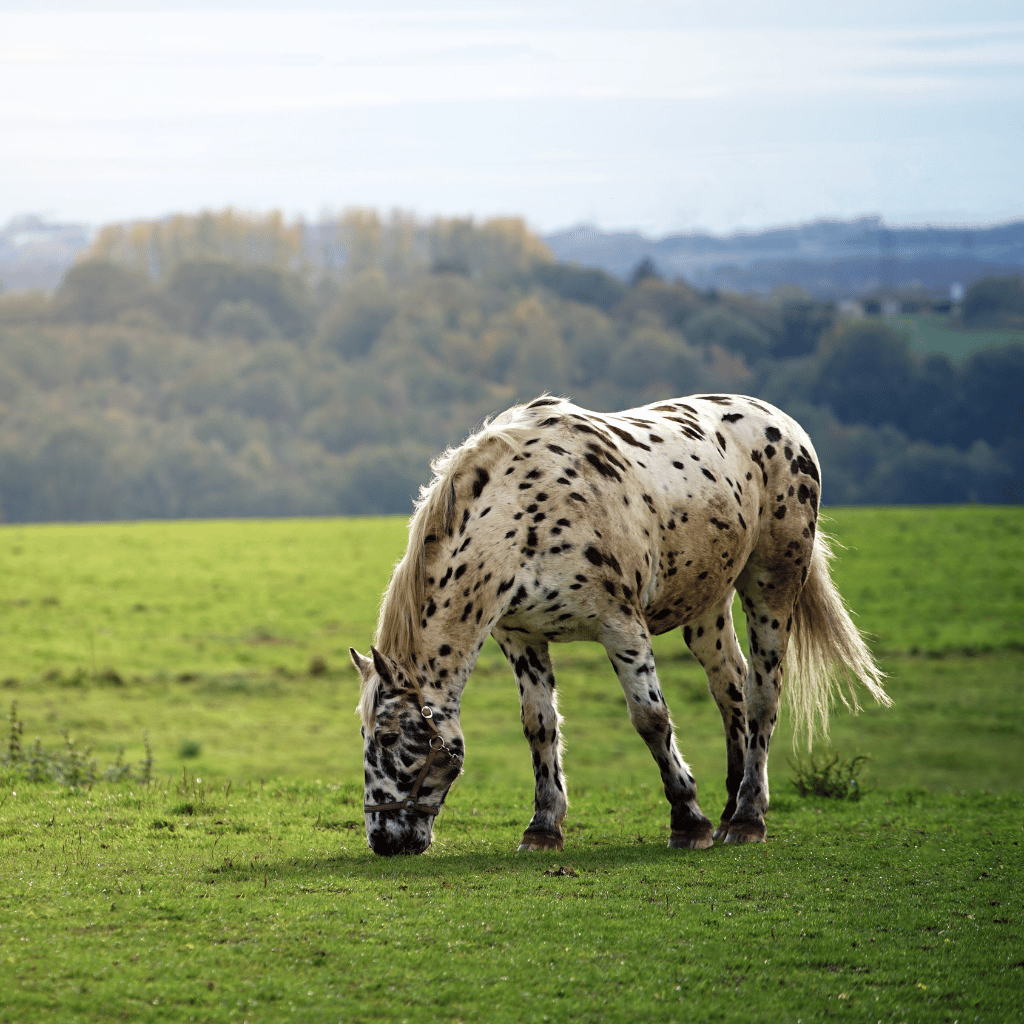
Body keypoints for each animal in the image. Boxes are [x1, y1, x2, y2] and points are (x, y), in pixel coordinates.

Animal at [349, 394, 889, 856]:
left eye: (389, 738)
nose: (383, 840)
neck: (522, 517)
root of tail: (786, 425)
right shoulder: (521, 636)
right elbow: (539, 725)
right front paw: (543, 828)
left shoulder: (621, 626)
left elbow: (651, 719)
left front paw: (688, 821)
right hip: (707, 604)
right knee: (730, 687)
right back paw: (730, 806)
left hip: (770, 585)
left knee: (762, 695)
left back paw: (747, 817)